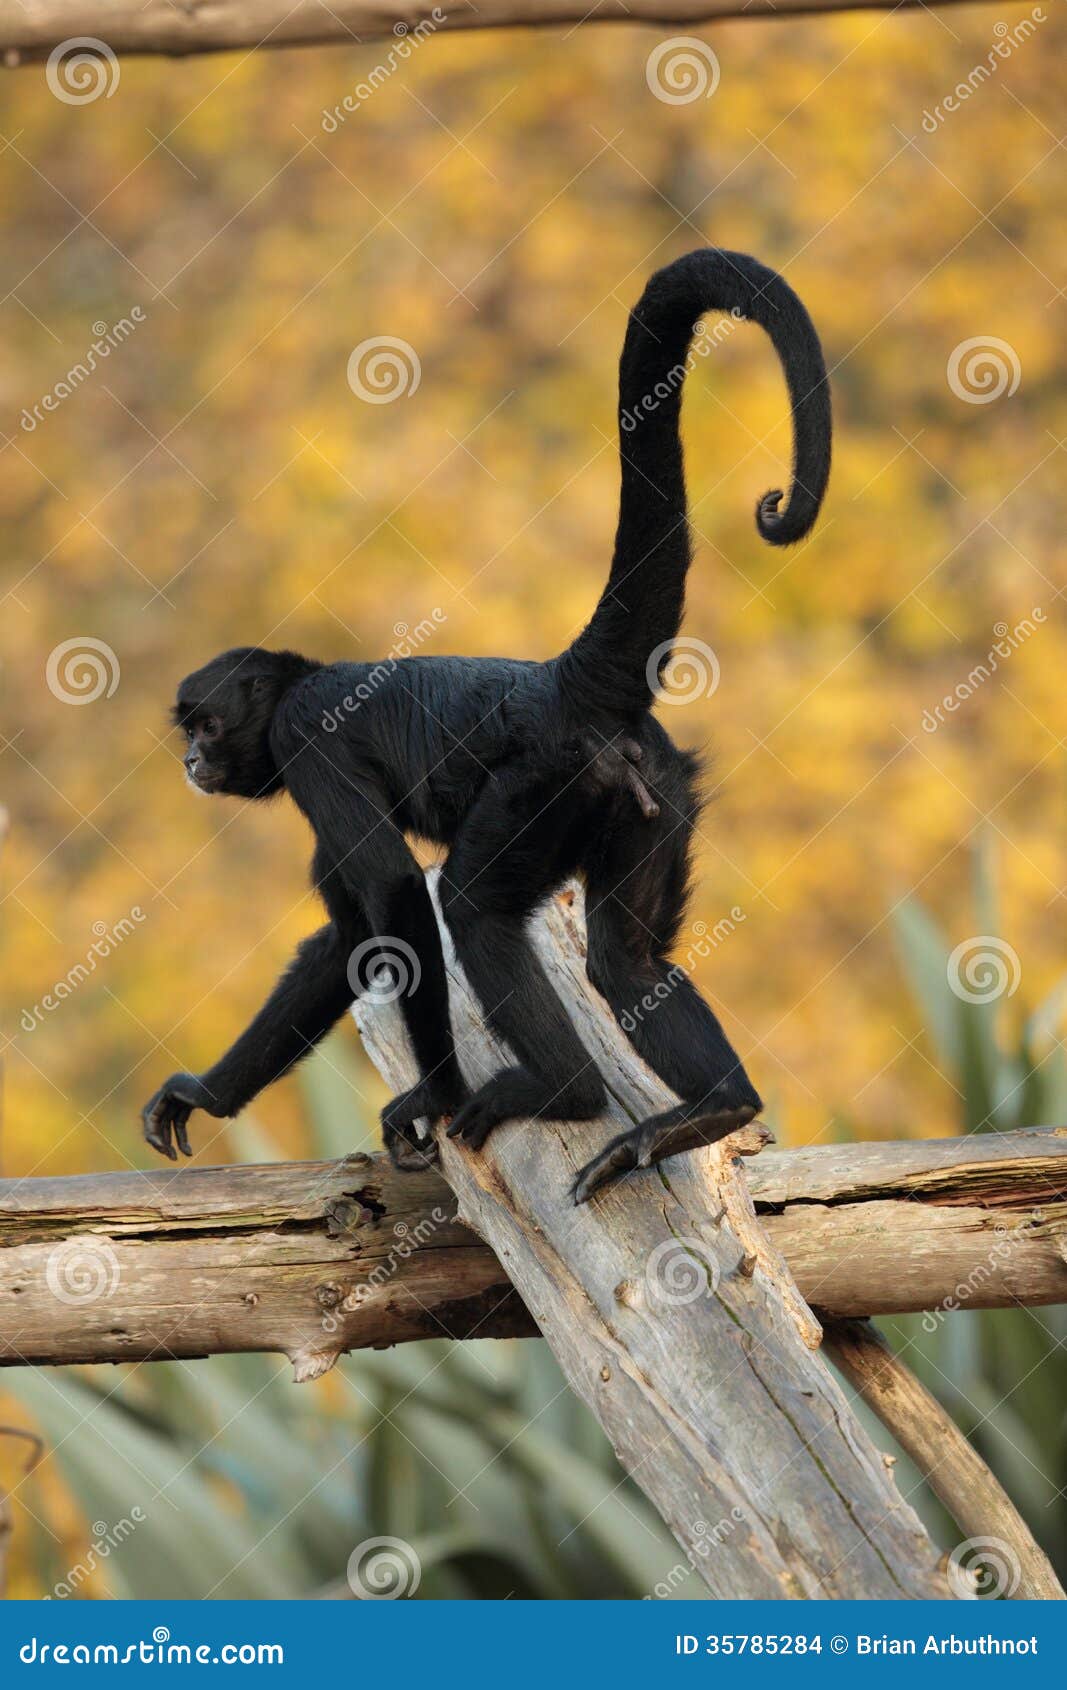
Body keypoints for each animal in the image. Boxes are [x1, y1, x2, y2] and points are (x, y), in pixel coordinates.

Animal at [141, 247, 831, 1203]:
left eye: (204, 726)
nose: (189, 761)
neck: (303, 682)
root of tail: (556, 683)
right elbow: (346, 935)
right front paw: (199, 1093)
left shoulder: (308, 741)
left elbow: (396, 896)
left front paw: (432, 1096)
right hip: (649, 791)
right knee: (624, 961)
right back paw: (717, 1107)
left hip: (544, 782)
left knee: (470, 903)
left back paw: (566, 1092)